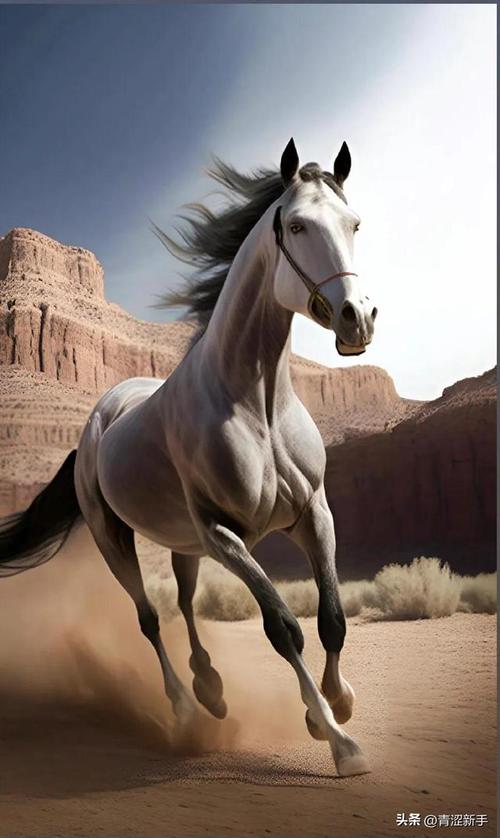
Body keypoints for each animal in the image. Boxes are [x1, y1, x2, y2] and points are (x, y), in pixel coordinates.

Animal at [0, 138, 377, 777]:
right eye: (296, 225)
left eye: (354, 223)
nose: (356, 318)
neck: (256, 403)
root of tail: (97, 423)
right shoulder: (225, 533)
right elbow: (283, 629)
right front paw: (339, 740)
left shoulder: (313, 515)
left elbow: (331, 617)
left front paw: (339, 703)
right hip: (116, 537)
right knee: (151, 616)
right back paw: (182, 705)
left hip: (185, 542)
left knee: (182, 601)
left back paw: (212, 689)